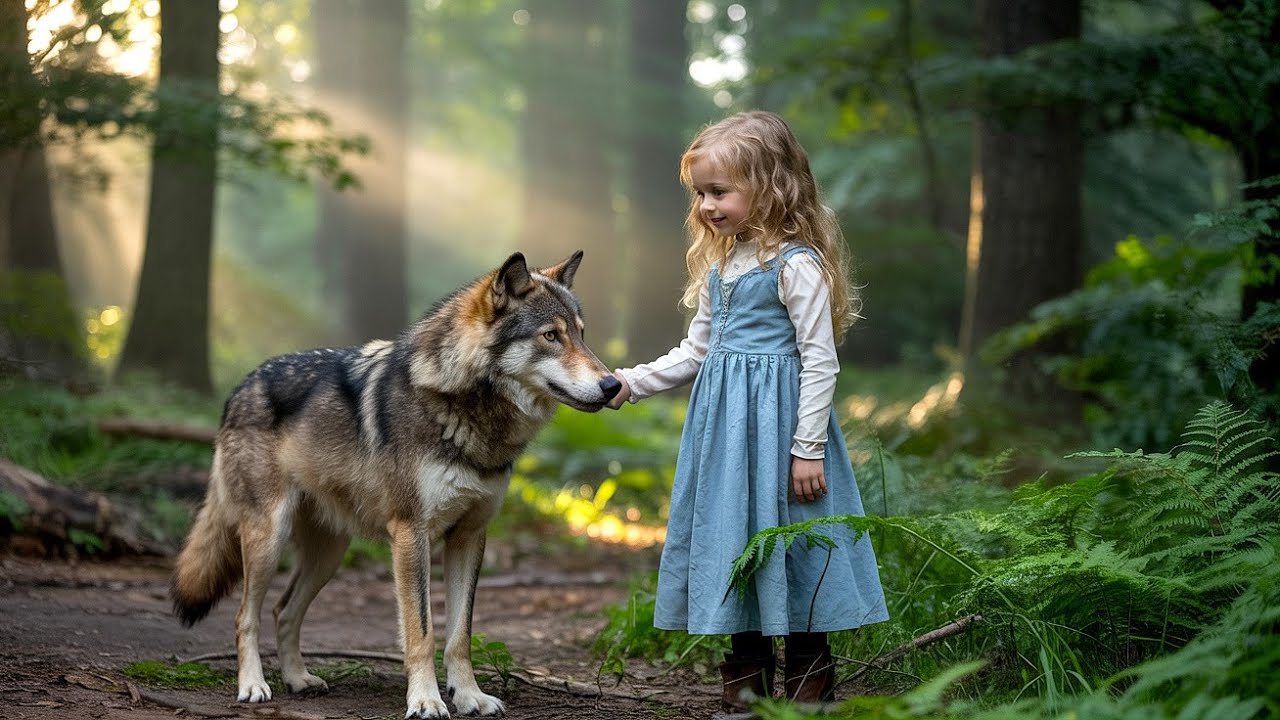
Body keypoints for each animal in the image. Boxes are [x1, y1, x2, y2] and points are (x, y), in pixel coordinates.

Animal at [171, 251, 621, 719]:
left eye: (581, 335)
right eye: (551, 336)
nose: (613, 385)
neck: (465, 409)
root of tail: (240, 387)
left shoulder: (469, 536)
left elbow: (460, 635)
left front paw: (470, 696)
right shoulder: (410, 534)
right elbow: (422, 632)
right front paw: (426, 701)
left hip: (330, 554)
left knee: (283, 610)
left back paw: (298, 679)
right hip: (268, 541)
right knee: (246, 615)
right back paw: (253, 685)